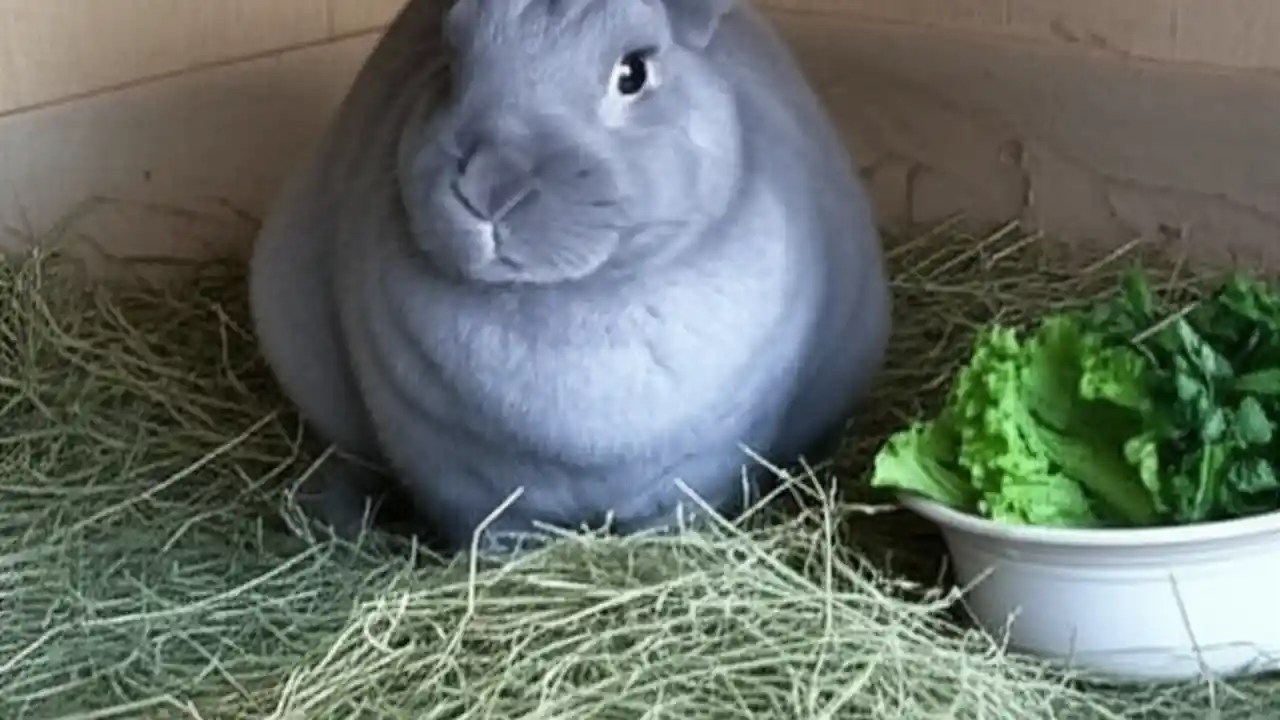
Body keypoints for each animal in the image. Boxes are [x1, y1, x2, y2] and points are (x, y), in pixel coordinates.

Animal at [249, 0, 892, 552]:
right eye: (452, 66)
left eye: (634, 72)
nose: (488, 188)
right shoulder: (464, 482)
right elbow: (498, 533)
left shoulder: (699, 472)